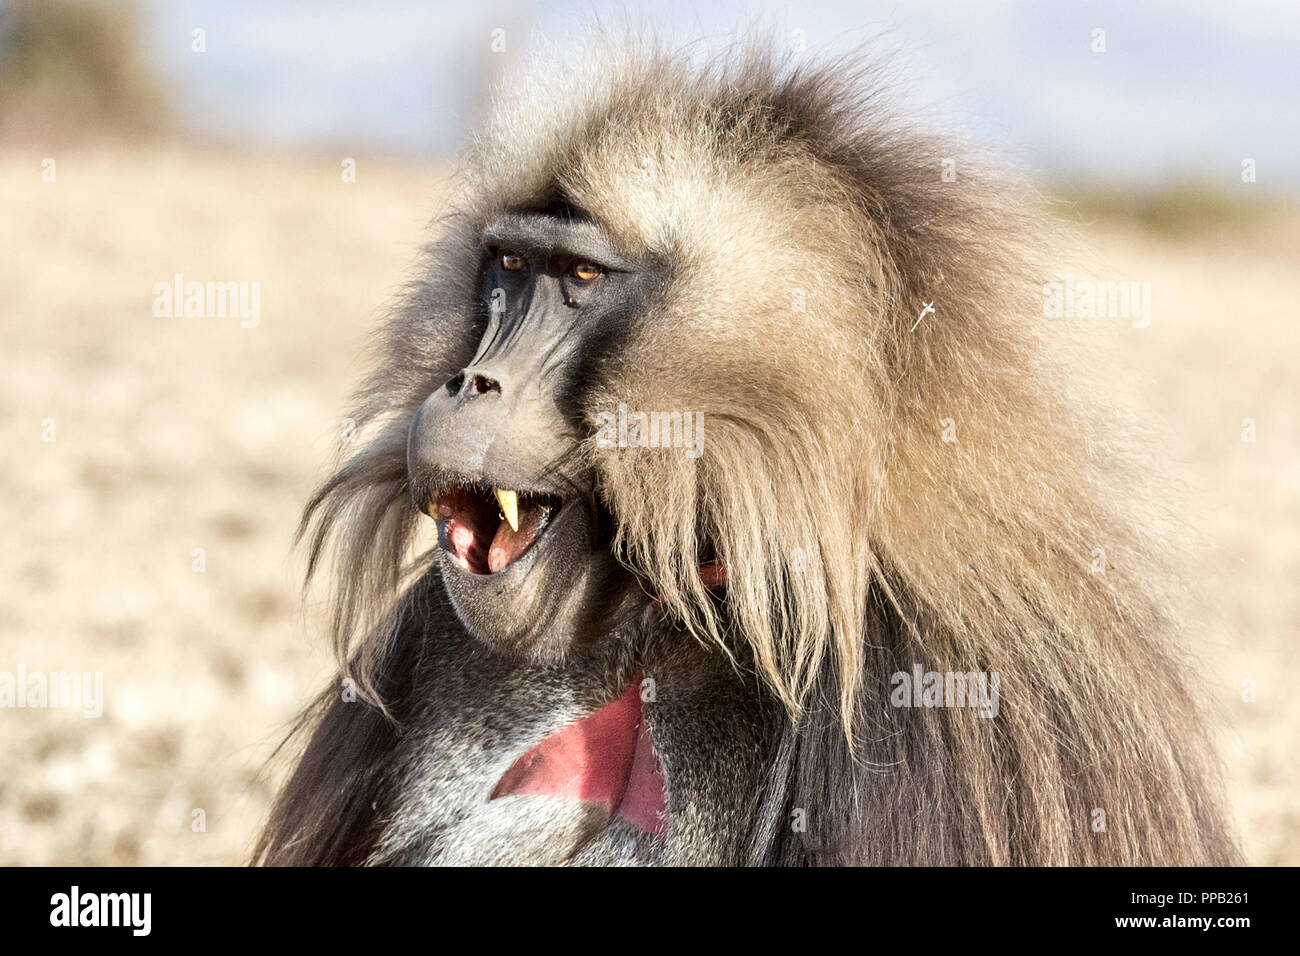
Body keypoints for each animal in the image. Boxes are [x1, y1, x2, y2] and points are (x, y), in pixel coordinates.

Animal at [255, 42, 1241, 866]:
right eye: (506, 265)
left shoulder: (917, 688)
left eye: (580, 277)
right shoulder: (439, 631)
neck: (676, 602)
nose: (470, 383)